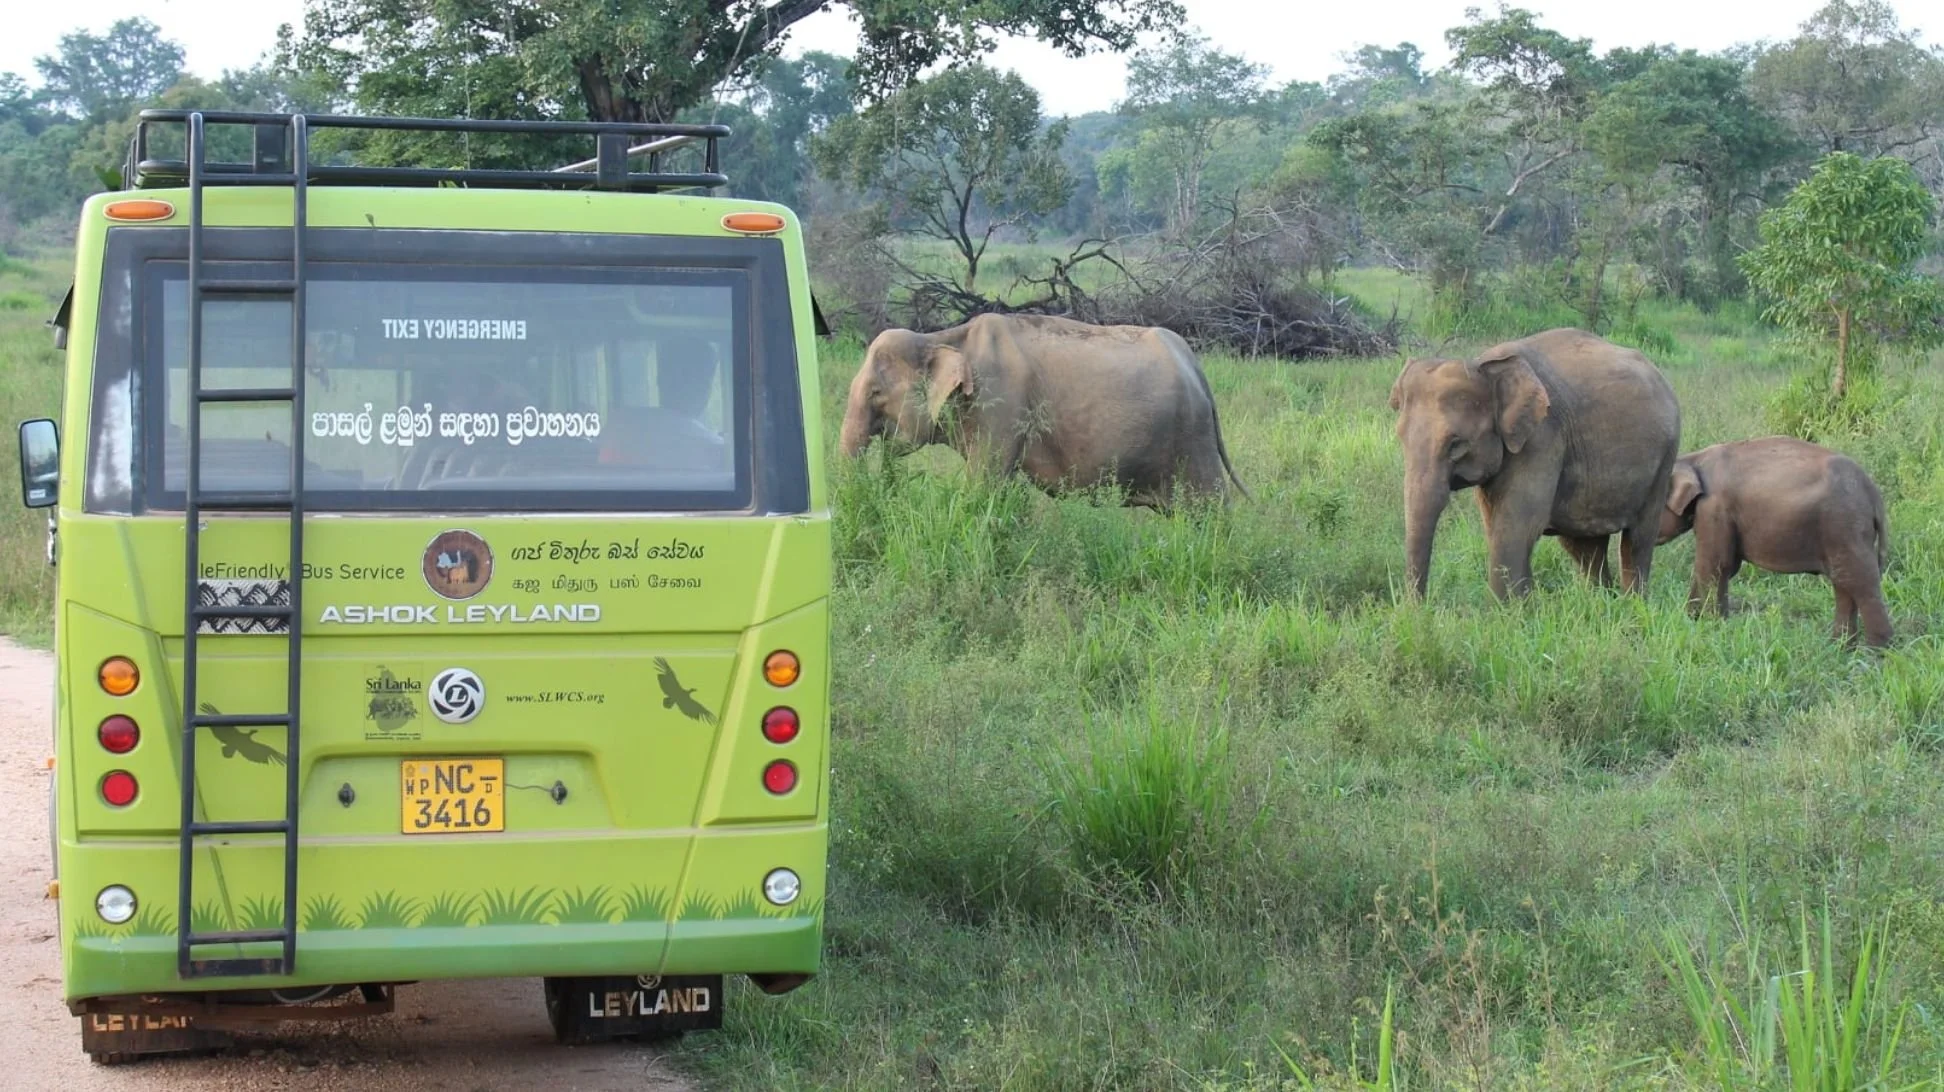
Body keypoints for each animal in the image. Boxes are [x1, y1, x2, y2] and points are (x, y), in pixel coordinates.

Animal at [838, 313, 1247, 508]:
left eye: (876, 393)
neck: (945, 337)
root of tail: (1195, 366)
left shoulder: (1003, 407)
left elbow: (984, 484)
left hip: (1192, 442)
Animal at [1389, 327, 1682, 600]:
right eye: (1400, 438)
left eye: (1456, 444)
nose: (1417, 609)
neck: (1484, 365)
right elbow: (1496, 523)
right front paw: (1523, 606)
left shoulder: (1542, 438)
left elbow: (1517, 523)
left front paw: (1507, 613)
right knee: (1584, 546)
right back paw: (1600, 602)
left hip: (1666, 456)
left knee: (1638, 539)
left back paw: (1632, 604)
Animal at [1658, 436, 1892, 647]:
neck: (1693, 458)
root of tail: (1873, 494)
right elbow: (1727, 568)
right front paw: (1719, 623)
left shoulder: (1713, 507)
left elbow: (1713, 565)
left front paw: (1697, 622)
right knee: (1843, 583)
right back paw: (1840, 648)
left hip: (1844, 524)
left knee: (1861, 583)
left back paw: (1876, 653)